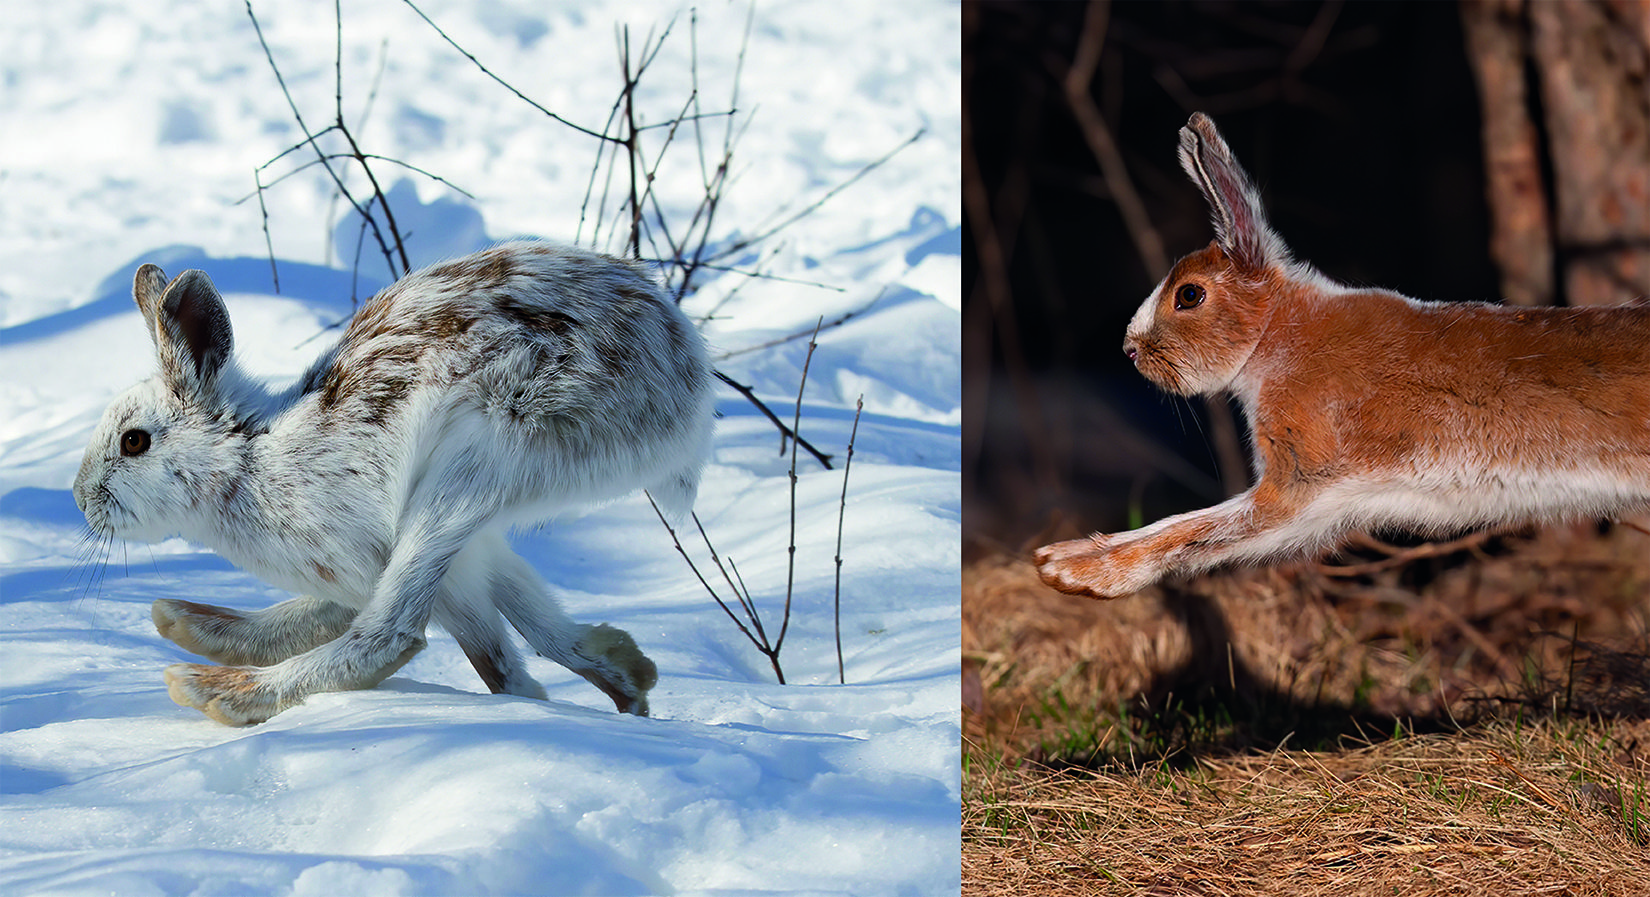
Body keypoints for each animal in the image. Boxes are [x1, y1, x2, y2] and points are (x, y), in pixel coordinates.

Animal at [73, 240, 715, 725]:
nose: (81, 500)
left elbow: (449, 642)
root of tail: (684, 378)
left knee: (394, 632)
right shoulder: (463, 566)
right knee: (531, 626)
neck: (246, 461)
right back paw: (630, 687)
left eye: (134, 442)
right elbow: (510, 649)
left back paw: (218, 689)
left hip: (480, 457)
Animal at [1036, 112, 1650, 599]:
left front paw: (1079, 576)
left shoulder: (1299, 482)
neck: (1275, 333)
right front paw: (1059, 557)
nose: (1130, 349)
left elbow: (1192, 528)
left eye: (1188, 295)